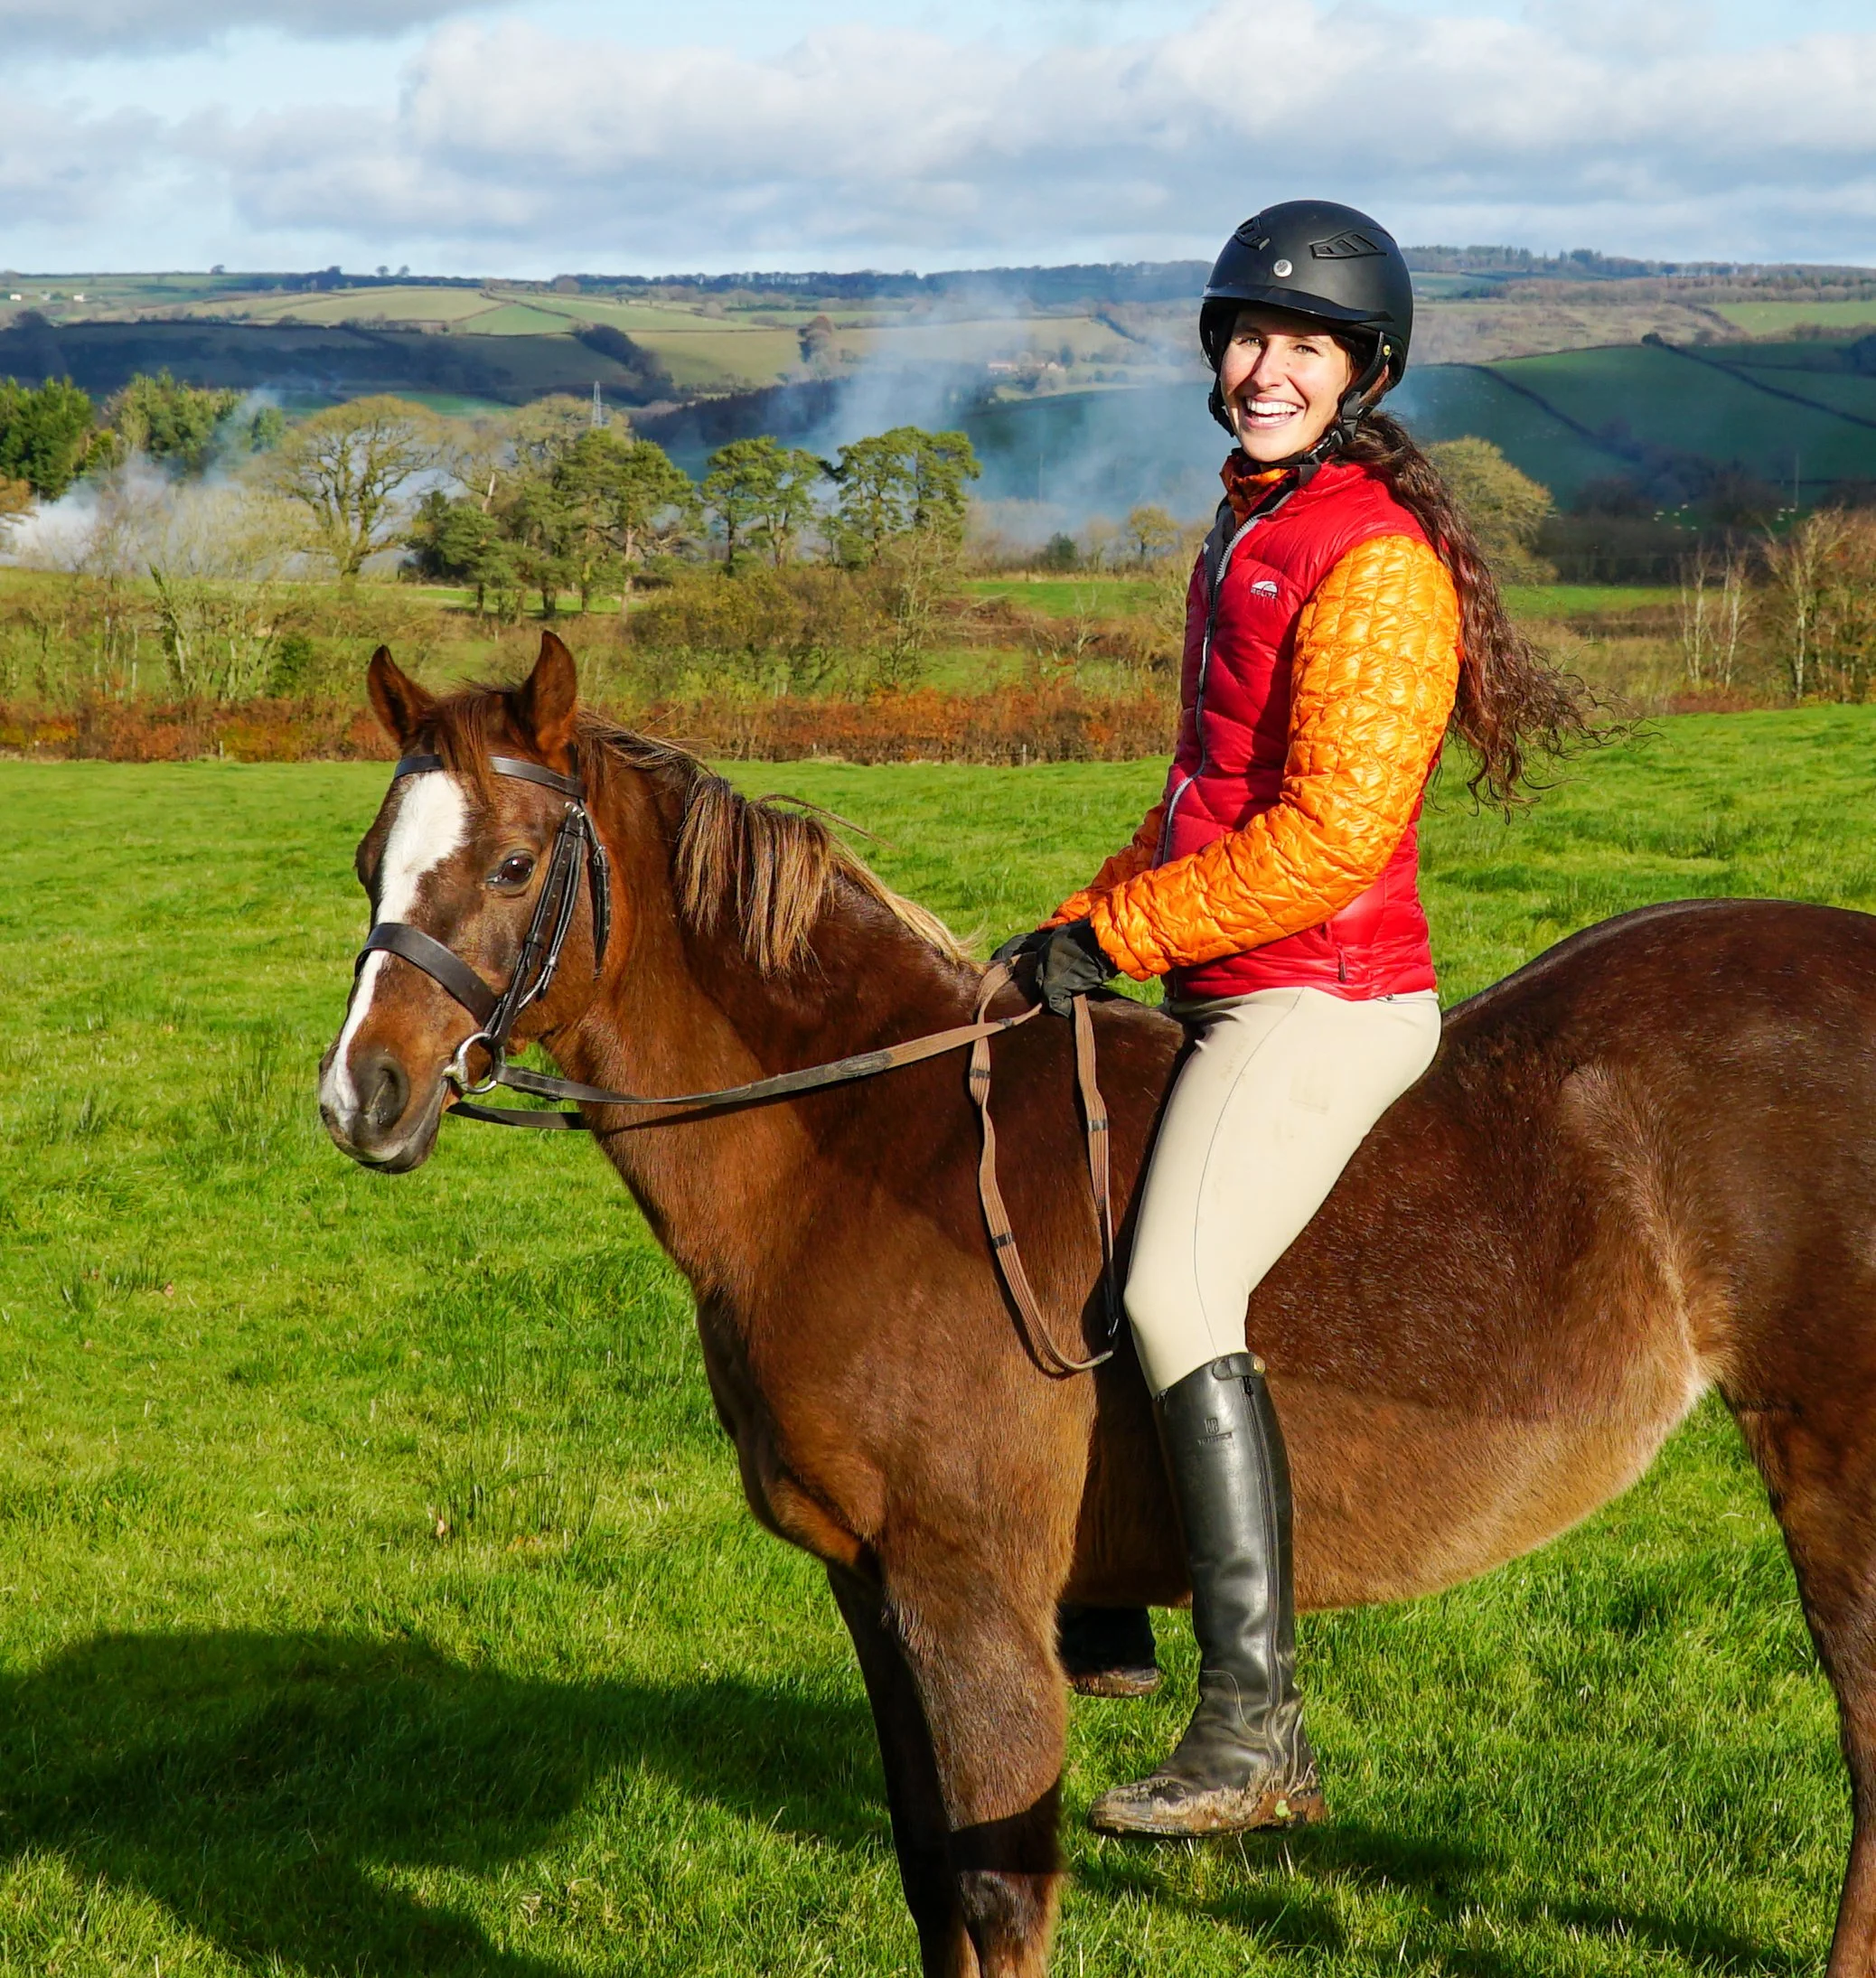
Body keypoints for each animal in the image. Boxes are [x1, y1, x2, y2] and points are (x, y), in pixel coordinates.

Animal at [320, 632, 1876, 1978]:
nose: (360, 1098)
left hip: (1835, 1455)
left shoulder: (968, 1595)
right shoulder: (870, 1586)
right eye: (367, 864)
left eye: (514, 864)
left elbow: (999, 1889)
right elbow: (929, 1872)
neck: (862, 1138)